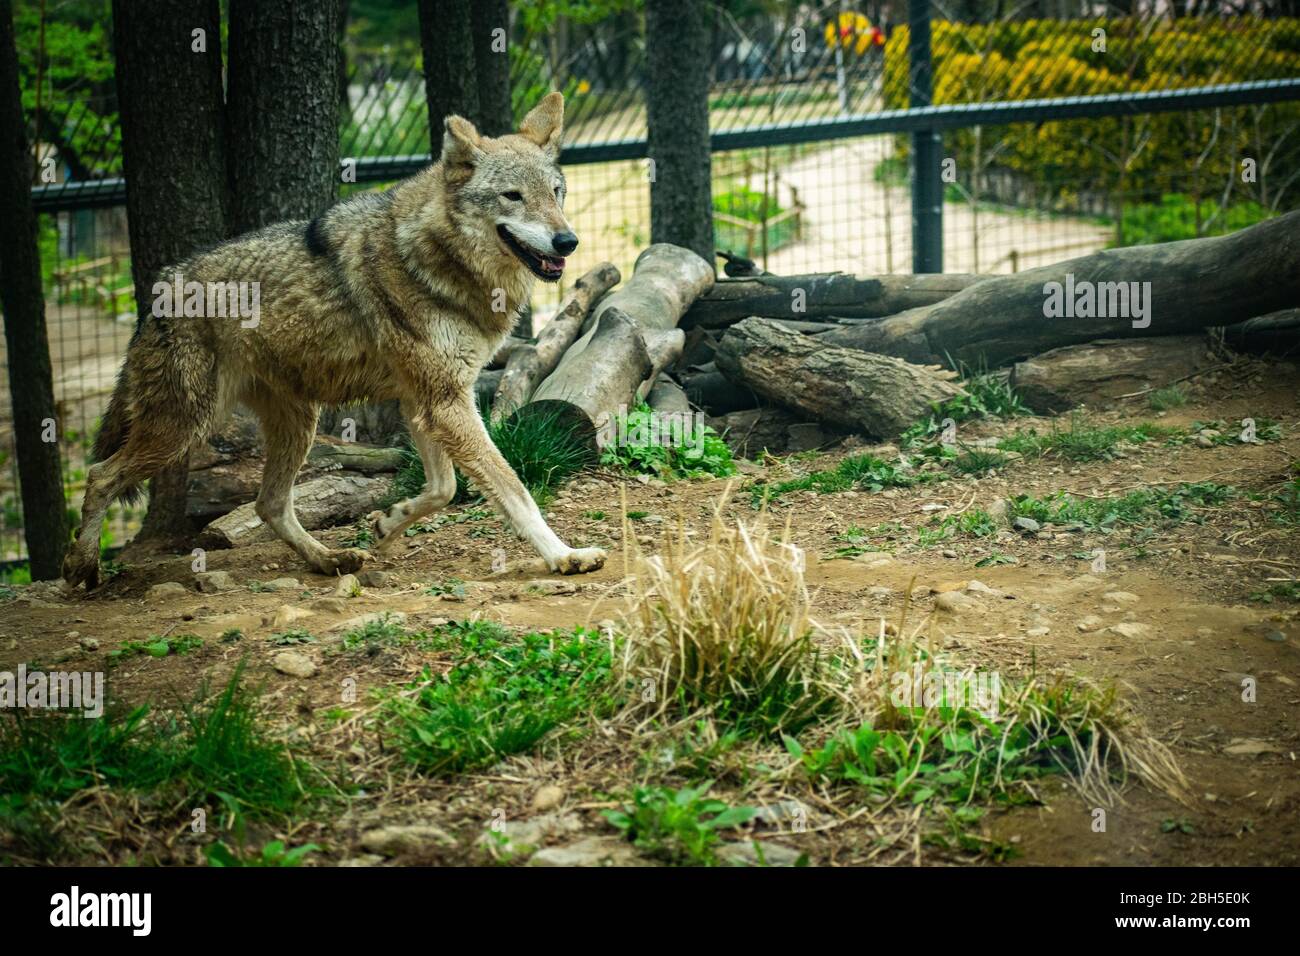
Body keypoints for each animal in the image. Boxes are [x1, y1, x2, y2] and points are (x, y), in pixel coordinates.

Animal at [63, 93, 606, 588]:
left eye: (556, 192)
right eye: (513, 196)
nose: (568, 242)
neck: (435, 256)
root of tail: (157, 292)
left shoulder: (423, 401)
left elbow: (444, 488)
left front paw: (388, 524)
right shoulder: (445, 400)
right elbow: (512, 487)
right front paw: (564, 555)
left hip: (295, 424)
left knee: (269, 504)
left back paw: (329, 560)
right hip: (183, 428)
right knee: (100, 475)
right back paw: (82, 568)